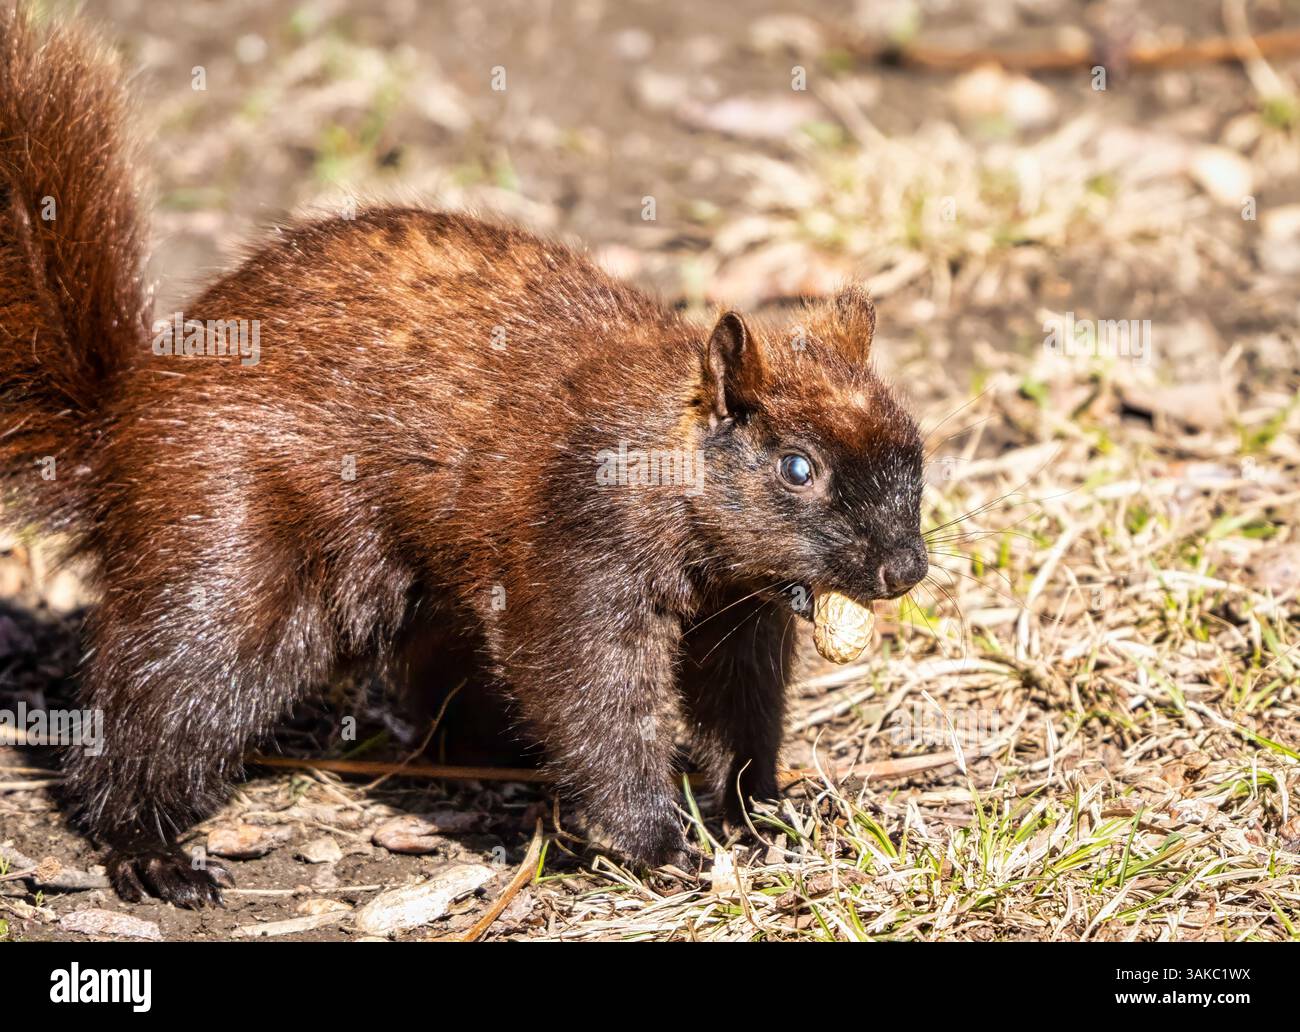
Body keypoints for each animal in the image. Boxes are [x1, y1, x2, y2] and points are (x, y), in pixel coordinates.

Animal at [0, 9, 927, 907]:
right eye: (797, 468)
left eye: (915, 447)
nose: (906, 569)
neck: (658, 453)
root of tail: (118, 432)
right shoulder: (578, 558)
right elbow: (591, 695)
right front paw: (658, 845)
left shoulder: (739, 612)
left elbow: (739, 710)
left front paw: (760, 814)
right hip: (230, 553)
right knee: (158, 706)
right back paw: (149, 852)